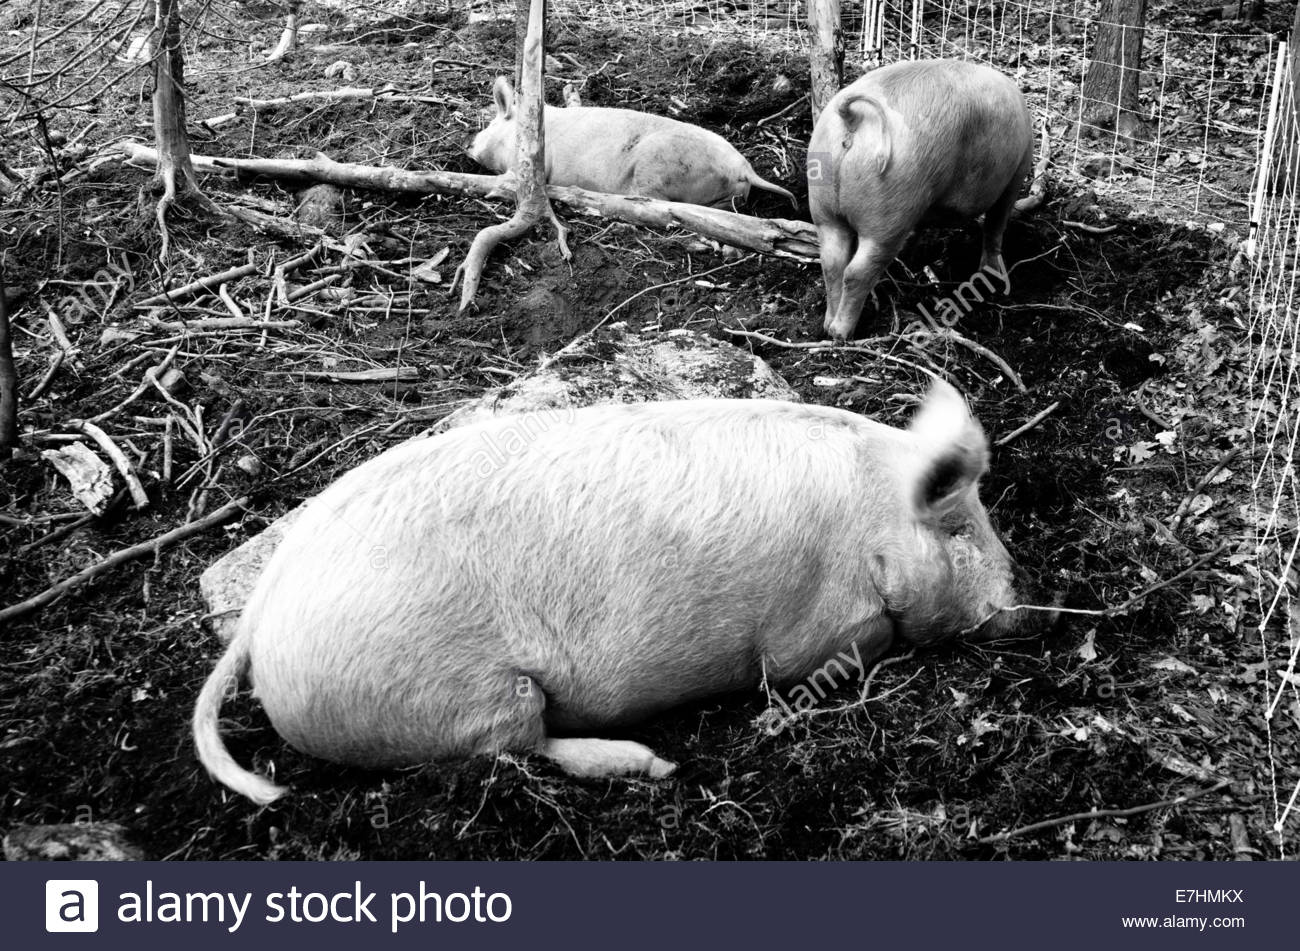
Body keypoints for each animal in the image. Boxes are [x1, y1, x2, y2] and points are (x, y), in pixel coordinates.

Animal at [194, 382, 1051, 804]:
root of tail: (263, 612)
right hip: (465, 693)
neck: (873, 512)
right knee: (518, 746)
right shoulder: (809, 631)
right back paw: (655, 765)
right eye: (960, 528)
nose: (1031, 604)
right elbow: (824, 656)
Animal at [808, 59, 1034, 340]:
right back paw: (842, 333)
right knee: (857, 271)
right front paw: (991, 272)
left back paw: (827, 325)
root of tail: (853, 117)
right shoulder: (1017, 174)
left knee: (832, 262)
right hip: (888, 212)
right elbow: (995, 225)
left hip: (823, 205)